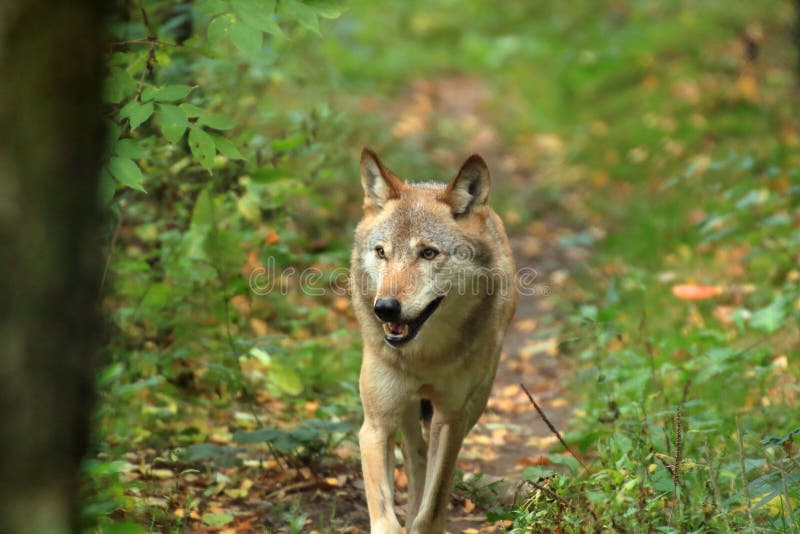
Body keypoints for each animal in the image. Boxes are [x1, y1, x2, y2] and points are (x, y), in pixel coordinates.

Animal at [350, 148, 518, 533]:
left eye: (428, 253)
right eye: (381, 252)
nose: (385, 308)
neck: (424, 356)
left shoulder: (450, 417)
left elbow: (434, 502)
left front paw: (424, 520)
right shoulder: (375, 425)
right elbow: (385, 513)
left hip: (475, 404)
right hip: (405, 411)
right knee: (415, 455)